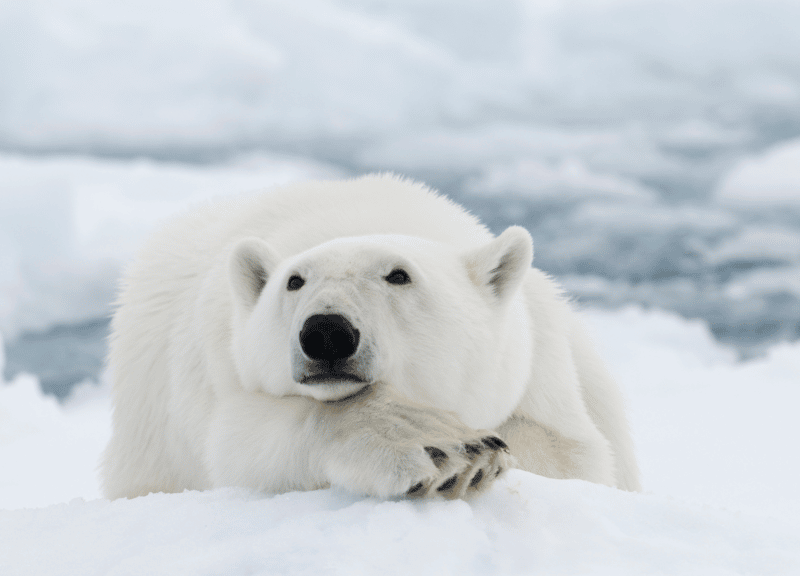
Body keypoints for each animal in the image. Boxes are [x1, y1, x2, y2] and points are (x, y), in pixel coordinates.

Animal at [101, 173, 640, 500]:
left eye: (399, 275)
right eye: (294, 280)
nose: (326, 332)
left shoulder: (539, 364)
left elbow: (571, 452)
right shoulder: (220, 369)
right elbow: (240, 439)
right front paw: (442, 448)